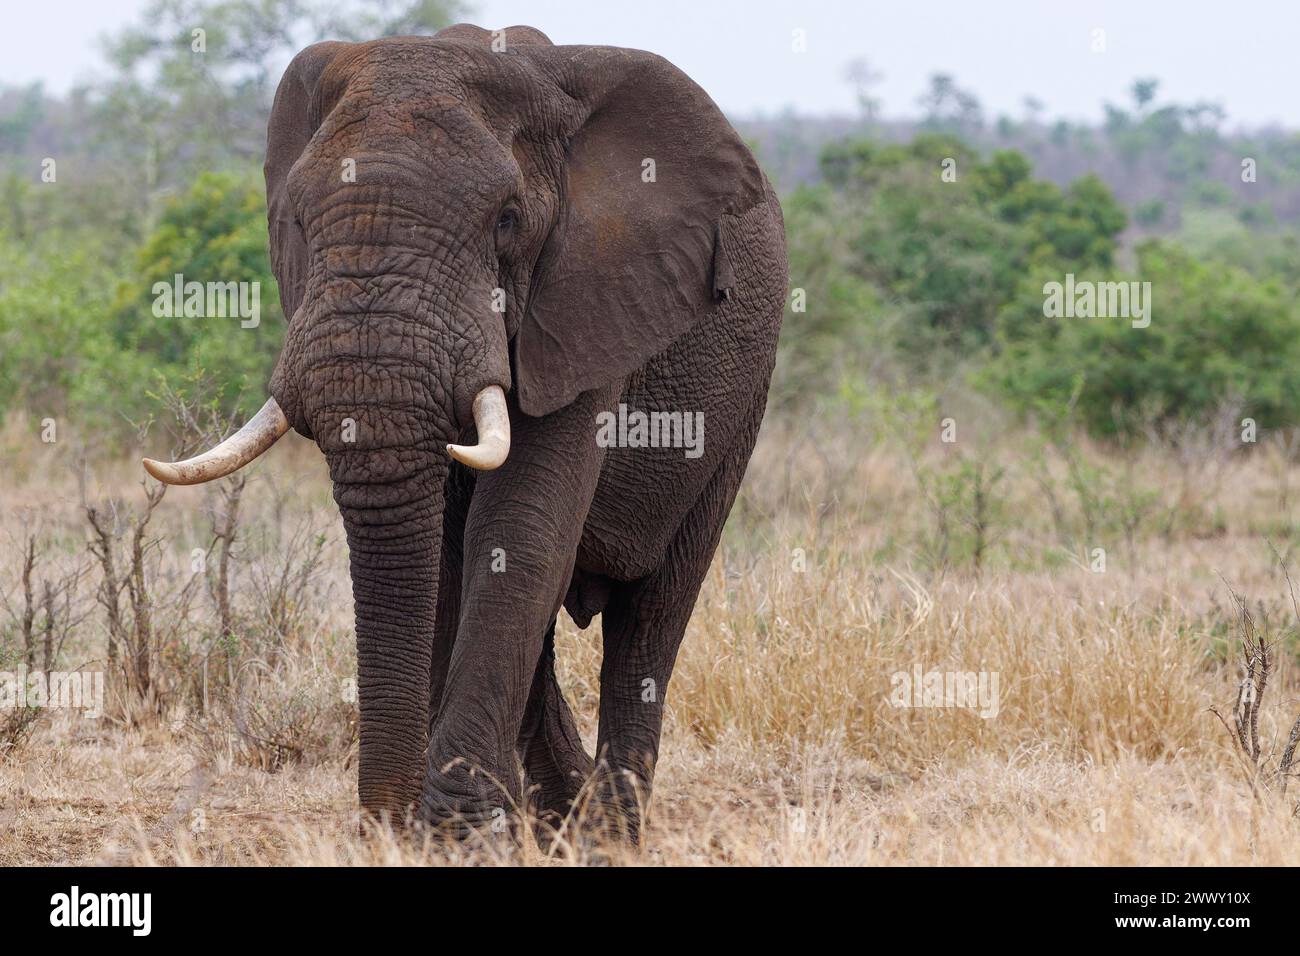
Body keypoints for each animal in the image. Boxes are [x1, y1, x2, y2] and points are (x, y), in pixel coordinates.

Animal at [143, 23, 787, 843]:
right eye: (296, 223)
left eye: (506, 220)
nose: (380, 826)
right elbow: (456, 549)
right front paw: (459, 830)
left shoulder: (583, 299)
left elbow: (520, 529)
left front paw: (460, 833)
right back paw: (559, 815)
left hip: (742, 402)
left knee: (651, 616)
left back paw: (606, 834)